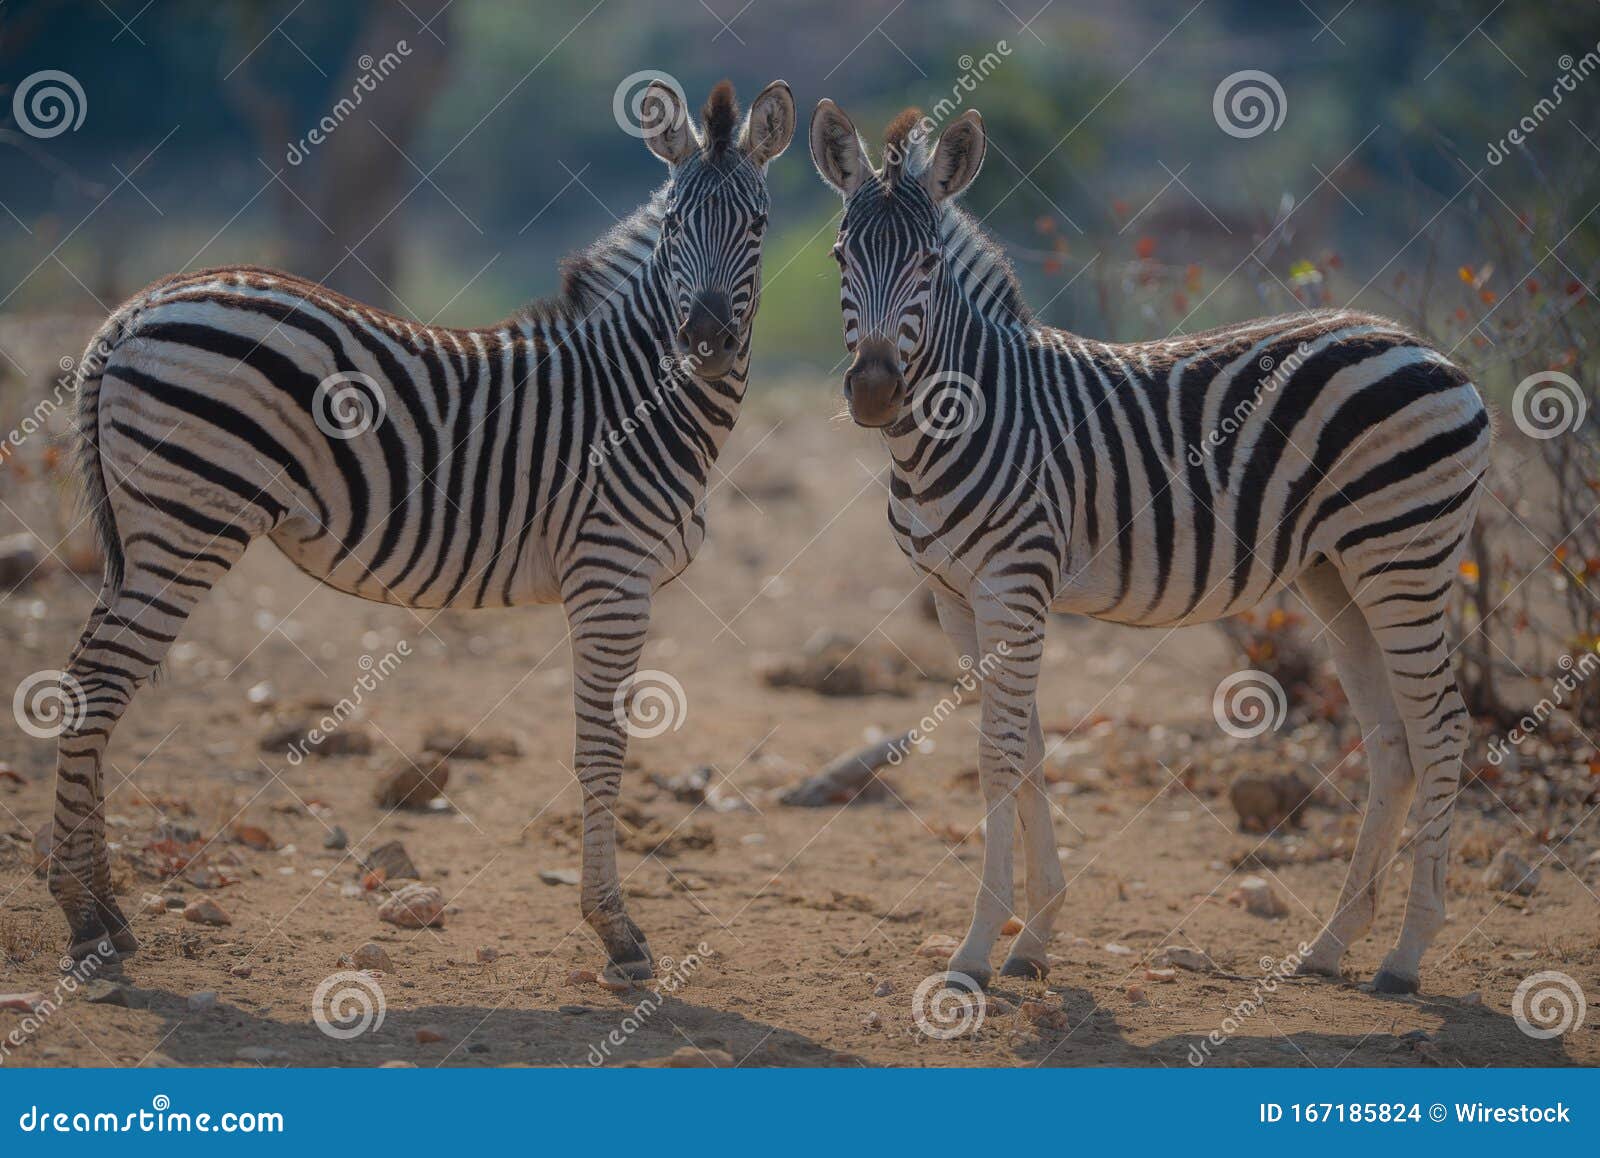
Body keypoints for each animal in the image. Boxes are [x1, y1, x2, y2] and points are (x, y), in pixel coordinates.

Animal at [46, 78, 795, 981]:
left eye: (758, 224)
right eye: (679, 224)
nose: (707, 341)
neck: (635, 393)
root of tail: (134, 309)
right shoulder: (611, 575)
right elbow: (602, 750)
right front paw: (617, 933)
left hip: (149, 532)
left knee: (91, 685)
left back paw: (106, 915)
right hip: (187, 524)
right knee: (94, 689)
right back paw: (83, 919)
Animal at [809, 101, 1490, 995]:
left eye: (927, 261)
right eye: (840, 257)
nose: (875, 391)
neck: (965, 415)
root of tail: (1423, 345)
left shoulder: (1014, 584)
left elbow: (997, 755)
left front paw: (976, 950)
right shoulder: (957, 597)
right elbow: (1027, 748)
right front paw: (1035, 938)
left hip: (1404, 557)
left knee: (1440, 728)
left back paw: (1406, 957)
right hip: (1336, 572)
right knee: (1391, 743)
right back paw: (1331, 944)